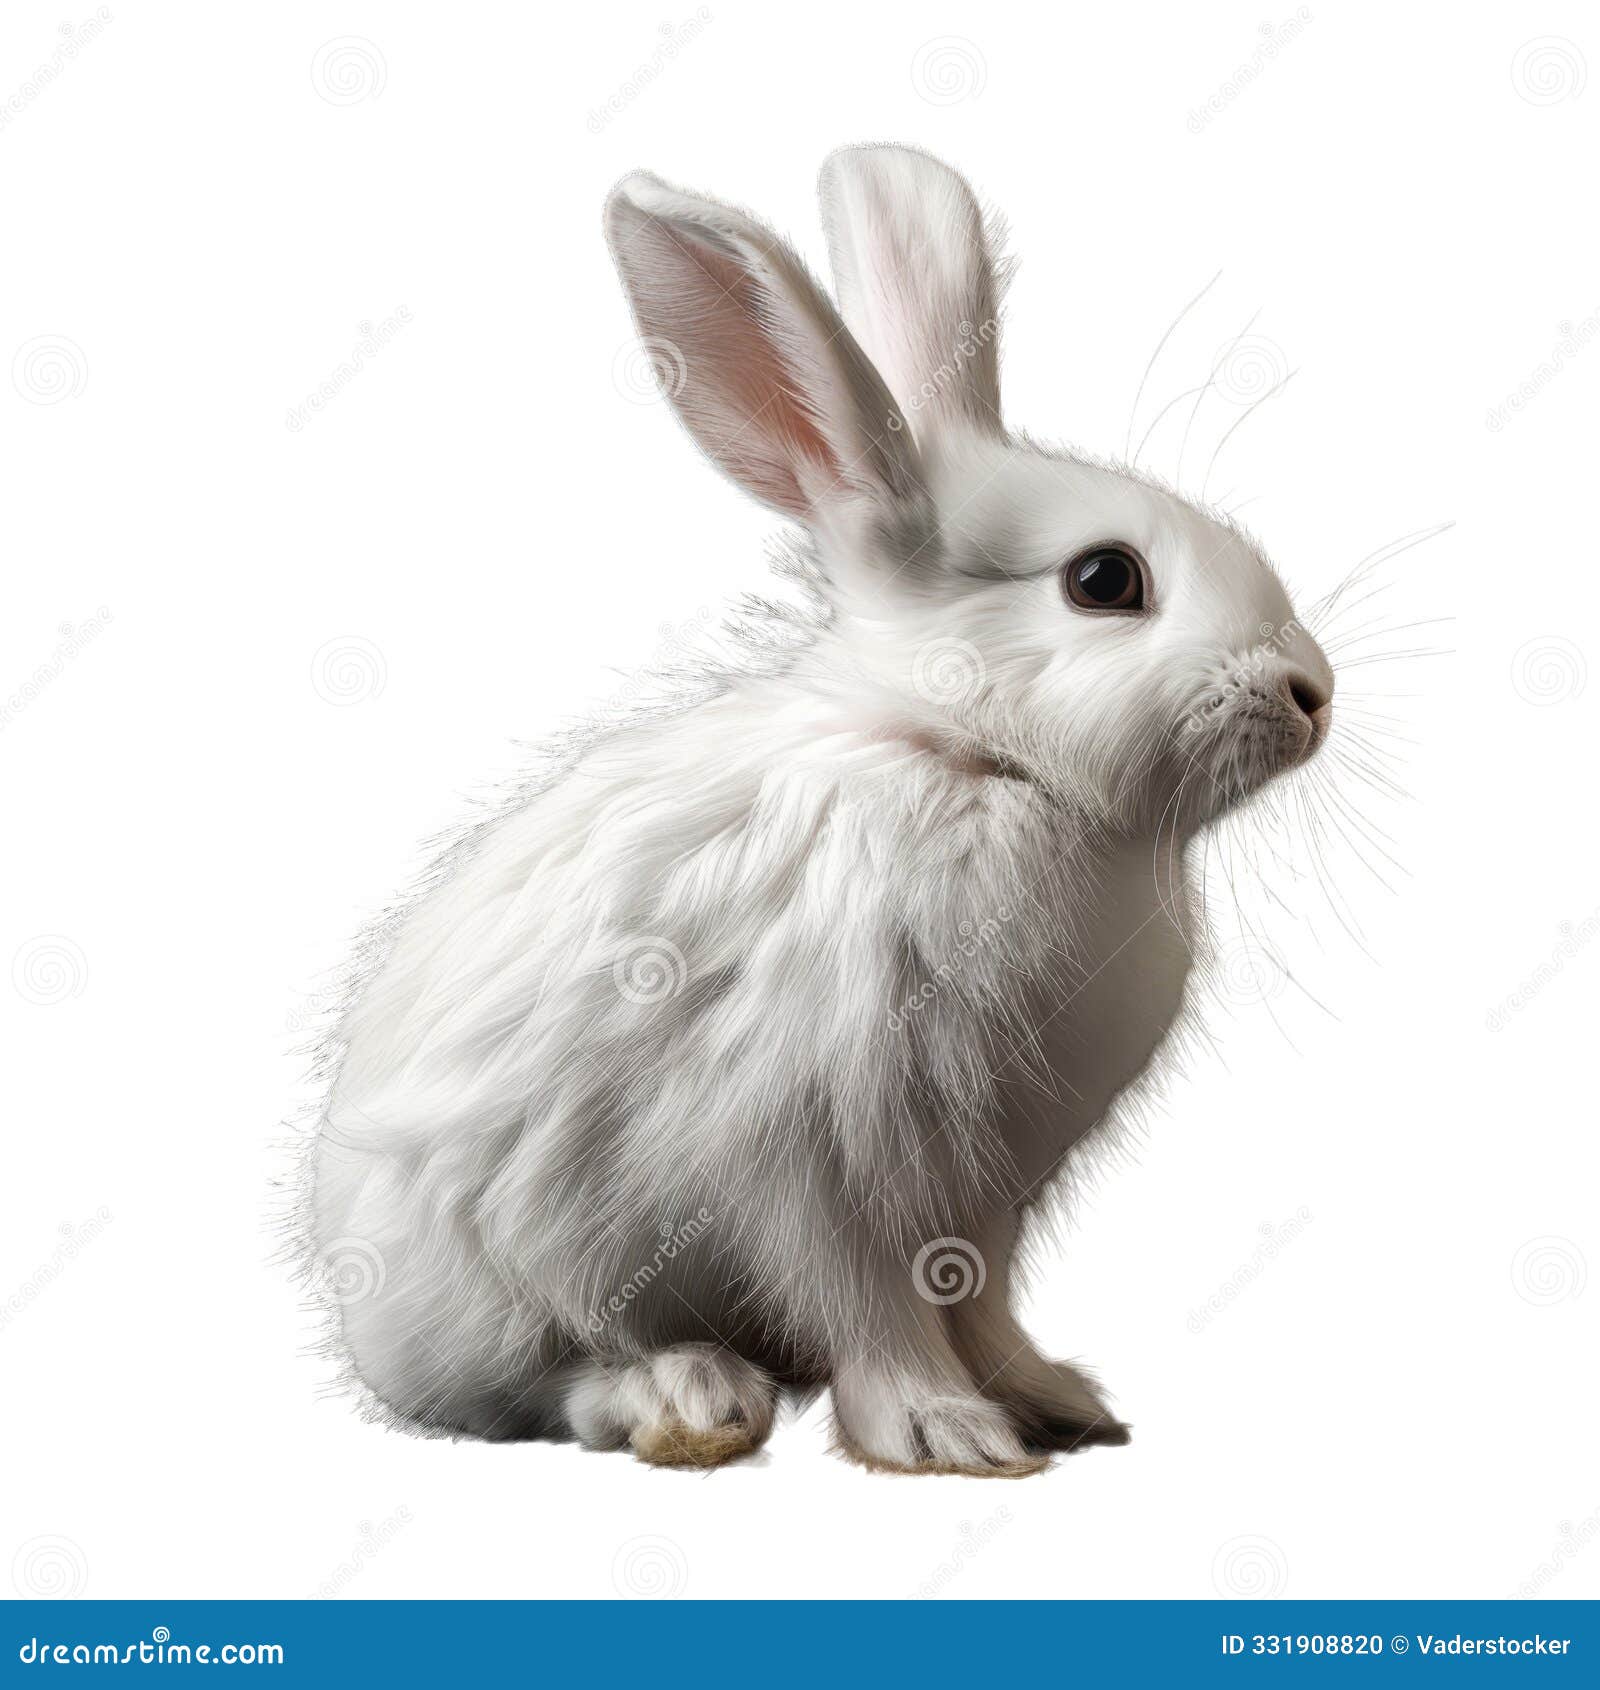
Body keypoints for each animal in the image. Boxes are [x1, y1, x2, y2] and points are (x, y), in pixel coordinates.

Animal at [307, 144, 1334, 1476]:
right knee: (550, 1384)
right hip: (500, 1280)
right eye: (1105, 579)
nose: (1313, 693)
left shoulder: (982, 1198)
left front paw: (1052, 1401)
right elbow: (873, 1301)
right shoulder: (818, 1163)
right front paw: (946, 1434)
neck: (974, 761)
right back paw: (688, 1397)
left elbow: (977, 1297)